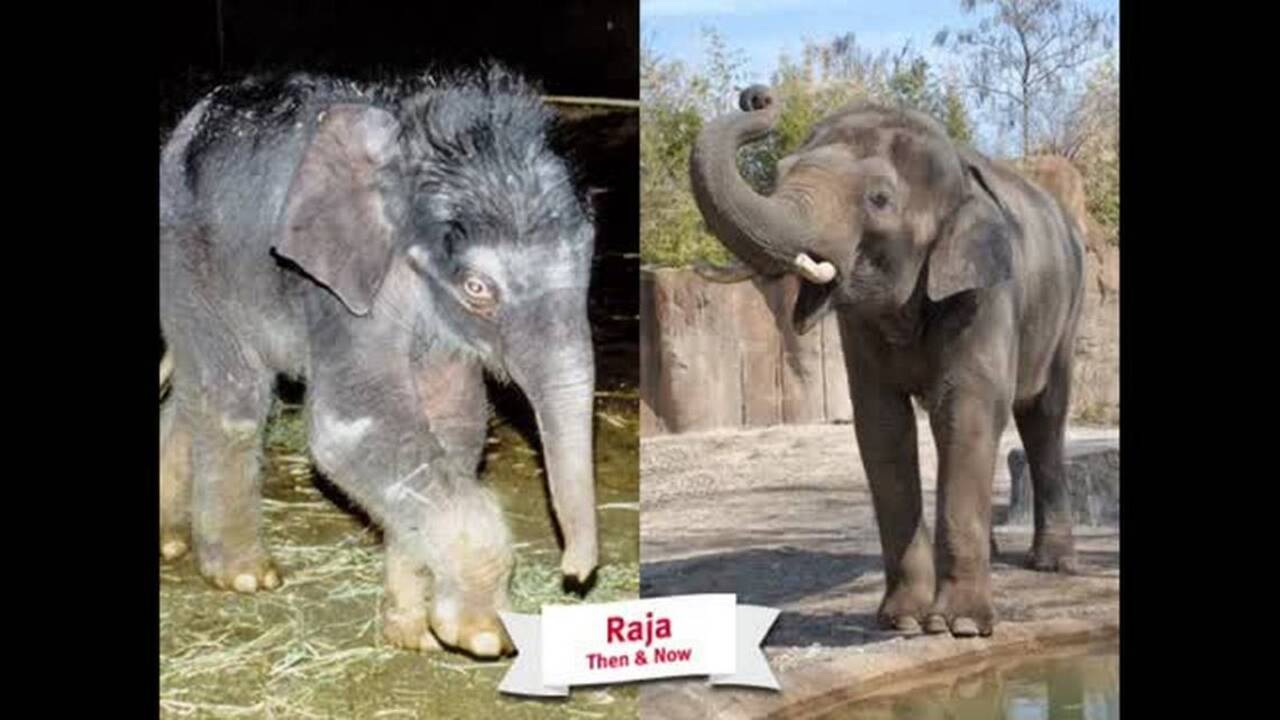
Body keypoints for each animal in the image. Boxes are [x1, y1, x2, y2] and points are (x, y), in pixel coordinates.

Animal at [158, 65, 599, 658]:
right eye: (477, 287)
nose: (575, 574)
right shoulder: (342, 285)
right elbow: (354, 426)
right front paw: (484, 633)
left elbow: (455, 425)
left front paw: (415, 632)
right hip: (187, 258)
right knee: (234, 392)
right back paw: (246, 577)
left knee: (195, 392)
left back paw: (170, 544)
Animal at [689, 86, 1086, 637]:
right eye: (781, 170)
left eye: (878, 199)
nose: (756, 95)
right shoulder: (859, 326)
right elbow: (881, 425)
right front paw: (903, 622)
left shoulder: (986, 293)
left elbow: (966, 409)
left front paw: (961, 627)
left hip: (1066, 313)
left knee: (1044, 416)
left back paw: (1052, 564)